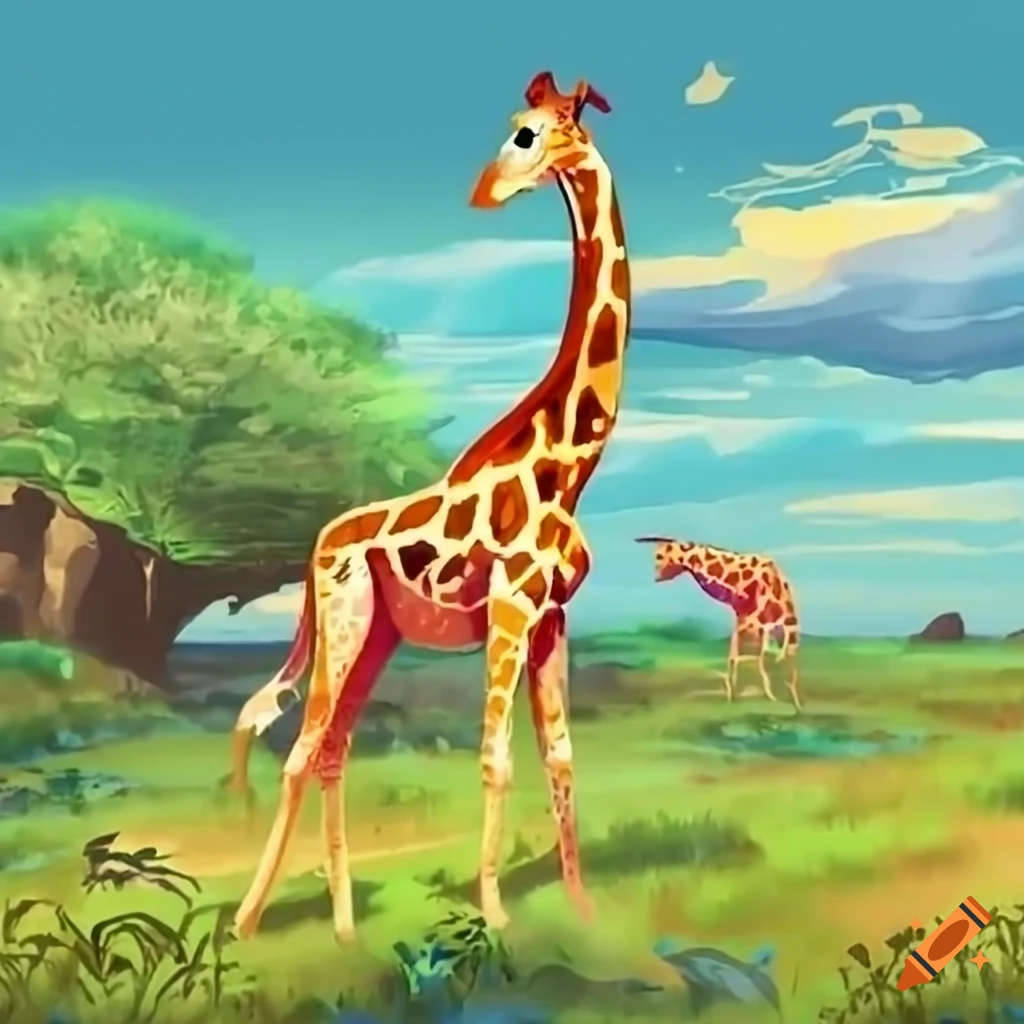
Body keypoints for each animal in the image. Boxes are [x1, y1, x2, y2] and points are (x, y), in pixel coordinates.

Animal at [227, 70, 630, 944]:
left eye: (528, 132)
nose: (486, 192)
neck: (568, 466)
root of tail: (316, 545)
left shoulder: (552, 617)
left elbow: (561, 755)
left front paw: (583, 909)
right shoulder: (511, 607)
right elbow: (495, 759)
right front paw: (497, 915)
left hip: (378, 633)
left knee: (336, 748)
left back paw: (346, 927)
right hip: (344, 623)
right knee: (301, 749)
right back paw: (246, 920)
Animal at [635, 537, 802, 709]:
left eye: (659, 556)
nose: (656, 577)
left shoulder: (752, 621)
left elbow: (749, 657)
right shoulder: (745, 618)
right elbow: (742, 656)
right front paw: (734, 698)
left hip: (783, 628)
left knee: (785, 658)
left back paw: (793, 702)